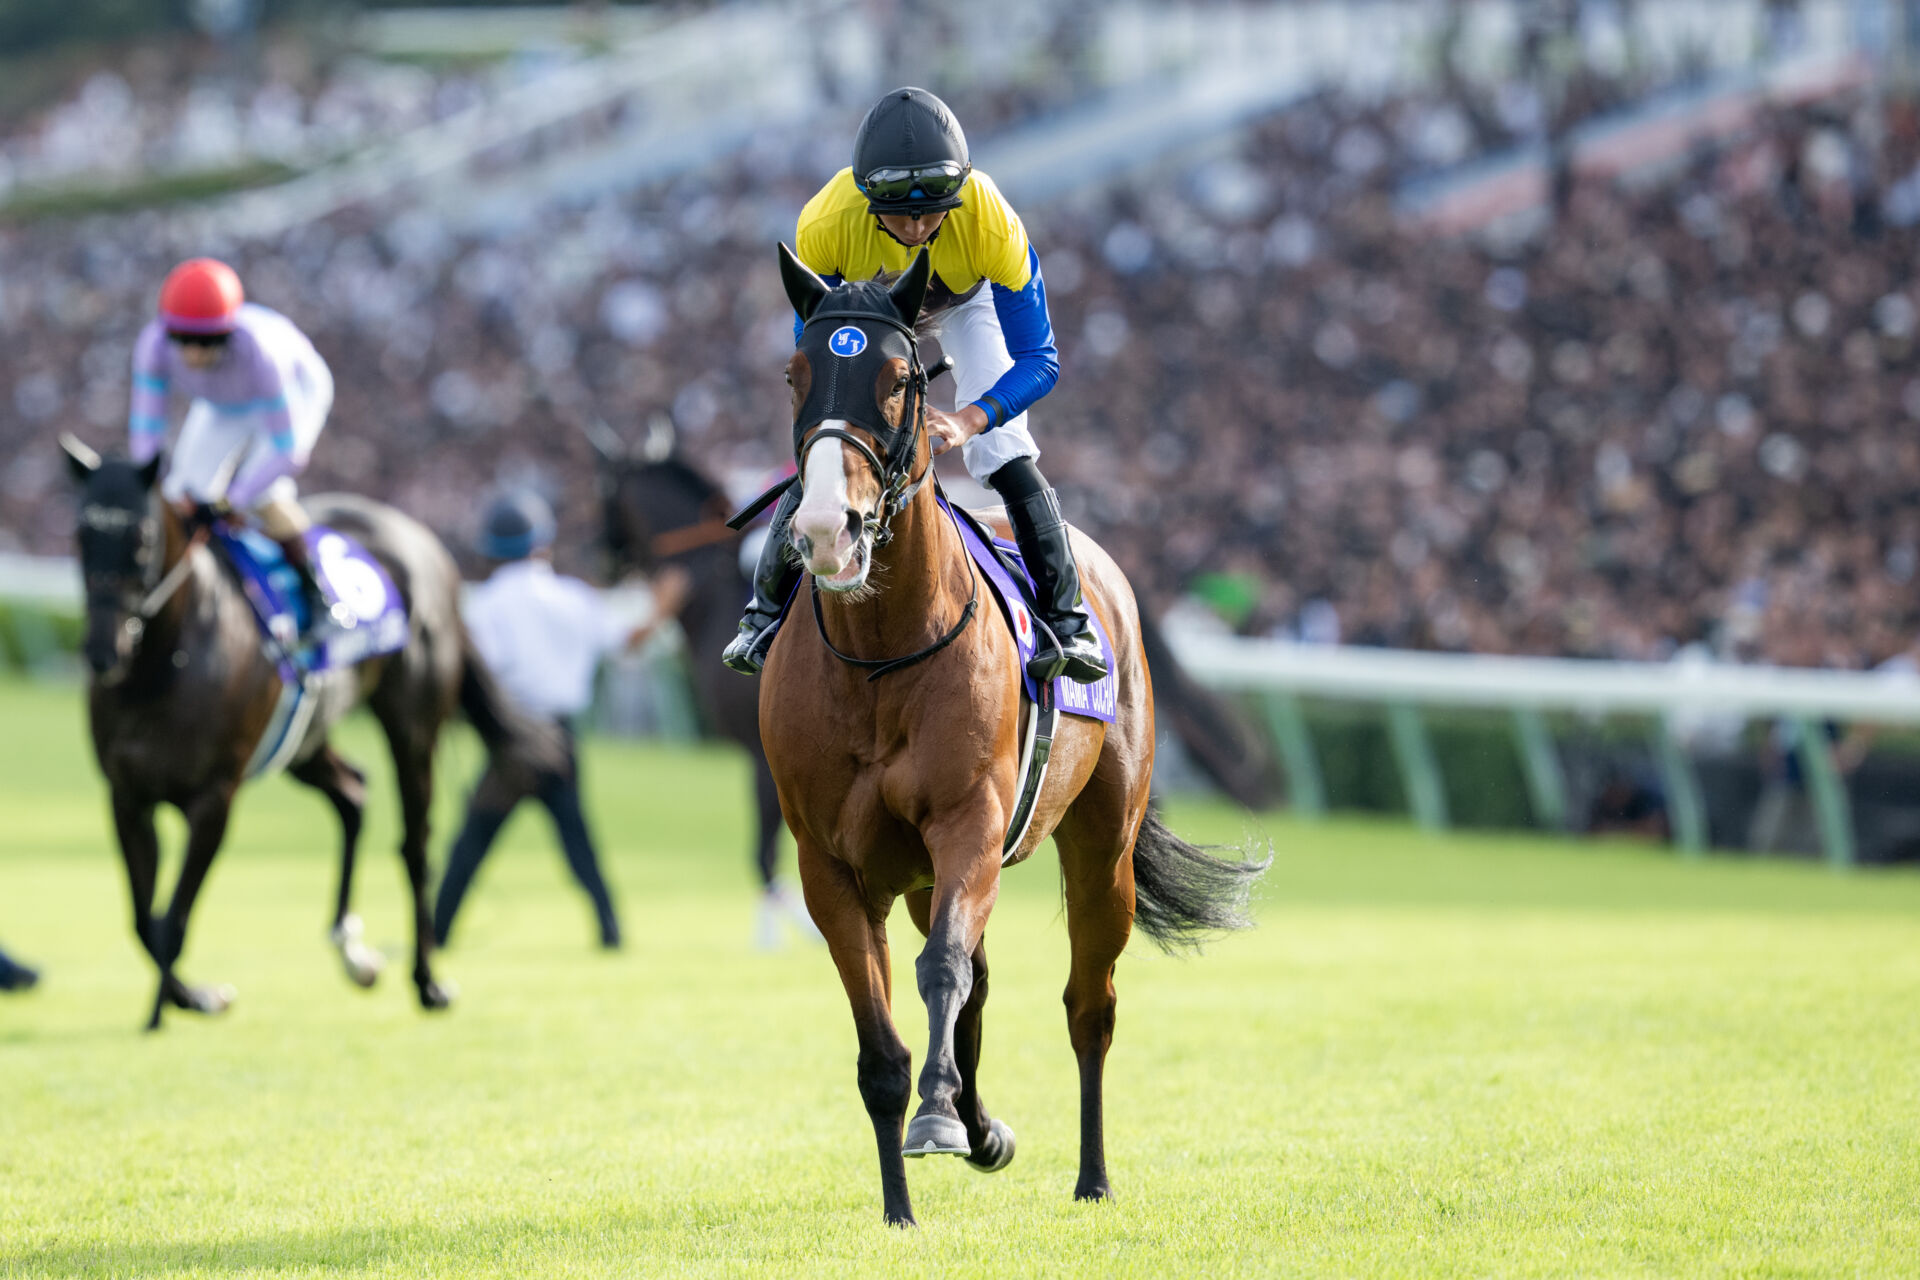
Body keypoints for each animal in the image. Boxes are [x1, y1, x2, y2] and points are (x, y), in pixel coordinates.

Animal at [61, 436, 555, 1031]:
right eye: (81, 535)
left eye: (142, 539)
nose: (102, 652)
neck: (164, 665)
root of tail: (424, 543)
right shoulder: (128, 796)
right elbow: (144, 921)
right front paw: (191, 998)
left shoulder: (214, 799)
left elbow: (173, 921)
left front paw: (173, 1010)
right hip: (302, 741)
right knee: (353, 793)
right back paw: (353, 951)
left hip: (413, 728)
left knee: (415, 844)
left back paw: (427, 980)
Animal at [757, 247, 1270, 1226]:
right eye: (796, 374)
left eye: (901, 380)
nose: (826, 530)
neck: (880, 657)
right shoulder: (830, 863)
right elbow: (885, 1041)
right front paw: (904, 1199)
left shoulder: (969, 824)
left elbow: (943, 974)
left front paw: (940, 1121)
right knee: (979, 980)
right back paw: (981, 1125)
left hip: (1102, 848)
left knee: (1088, 1006)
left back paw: (1092, 1176)